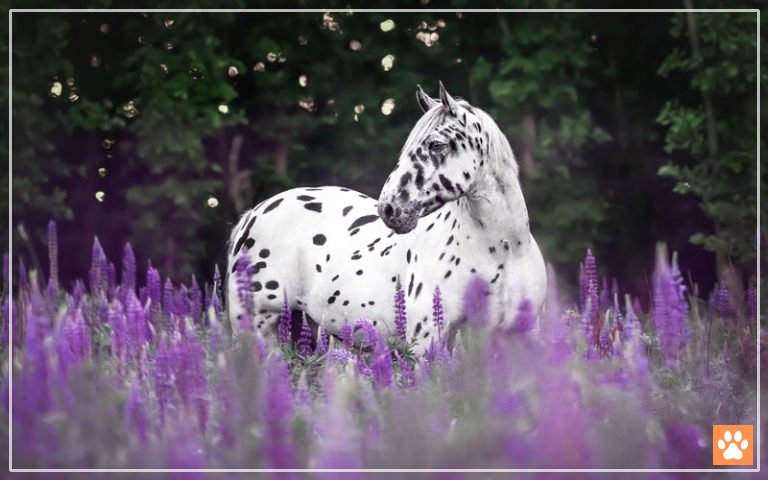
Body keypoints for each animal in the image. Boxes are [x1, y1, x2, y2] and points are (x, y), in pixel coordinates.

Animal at [226, 82, 546, 353]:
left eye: (436, 145)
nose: (388, 208)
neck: (503, 249)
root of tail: (253, 213)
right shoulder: (428, 344)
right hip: (256, 327)